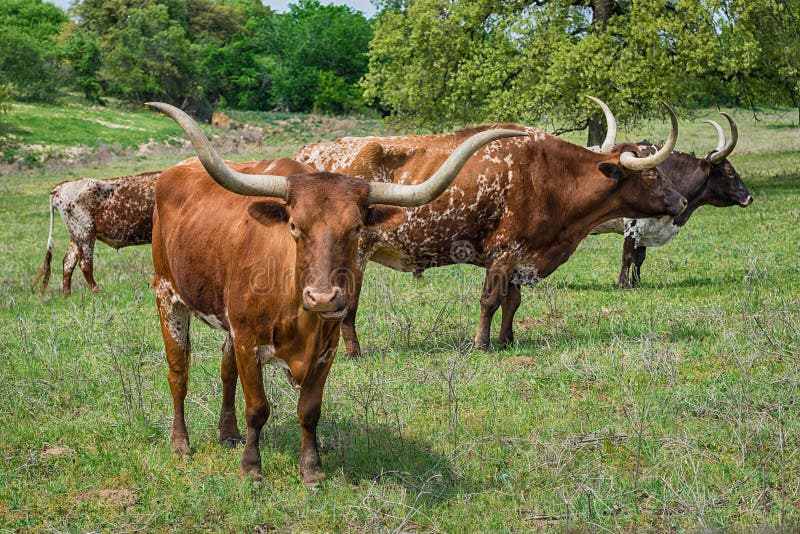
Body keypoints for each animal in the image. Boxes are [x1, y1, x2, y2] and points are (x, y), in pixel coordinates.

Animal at [31, 171, 160, 296]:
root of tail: (59, 187)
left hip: (76, 236)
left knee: (68, 262)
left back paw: (67, 294)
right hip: (85, 234)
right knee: (85, 264)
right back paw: (98, 292)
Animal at [146, 102, 524, 485]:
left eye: (356, 228)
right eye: (294, 226)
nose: (323, 298)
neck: (296, 309)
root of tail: (174, 171)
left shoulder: (323, 348)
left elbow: (309, 410)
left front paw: (312, 470)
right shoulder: (249, 339)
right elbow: (257, 408)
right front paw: (251, 468)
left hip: (226, 322)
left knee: (226, 370)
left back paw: (228, 434)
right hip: (167, 293)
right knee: (178, 373)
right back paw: (181, 443)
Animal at [295, 102, 687, 355]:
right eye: (652, 174)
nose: (682, 202)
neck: (551, 176)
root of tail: (309, 153)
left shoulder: (520, 256)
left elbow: (512, 301)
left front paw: (507, 340)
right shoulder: (505, 252)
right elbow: (489, 300)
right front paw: (482, 344)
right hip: (354, 253)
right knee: (348, 303)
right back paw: (353, 352)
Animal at [588, 103, 753, 287]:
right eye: (729, 172)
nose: (749, 197)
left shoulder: (646, 230)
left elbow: (639, 259)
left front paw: (637, 284)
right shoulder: (633, 227)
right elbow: (628, 256)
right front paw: (624, 285)